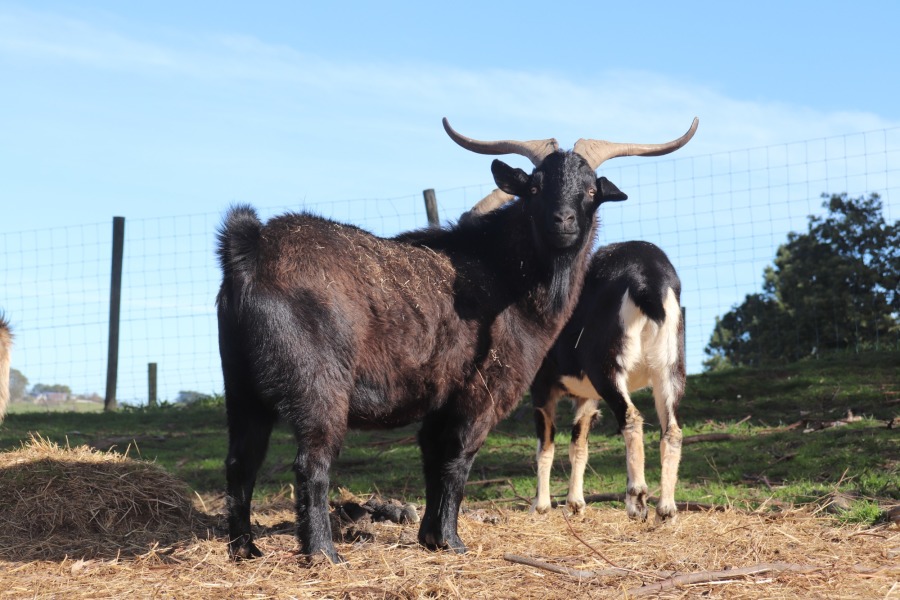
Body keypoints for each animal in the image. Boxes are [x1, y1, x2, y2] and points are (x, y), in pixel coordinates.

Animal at [215, 117, 697, 563]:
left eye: (591, 191)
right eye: (535, 186)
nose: (562, 222)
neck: (505, 274)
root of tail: (249, 250)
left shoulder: (439, 398)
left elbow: (433, 459)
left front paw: (431, 538)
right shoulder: (482, 393)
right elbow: (458, 459)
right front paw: (452, 541)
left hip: (241, 388)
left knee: (241, 462)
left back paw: (245, 549)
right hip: (319, 387)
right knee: (311, 463)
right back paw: (323, 554)